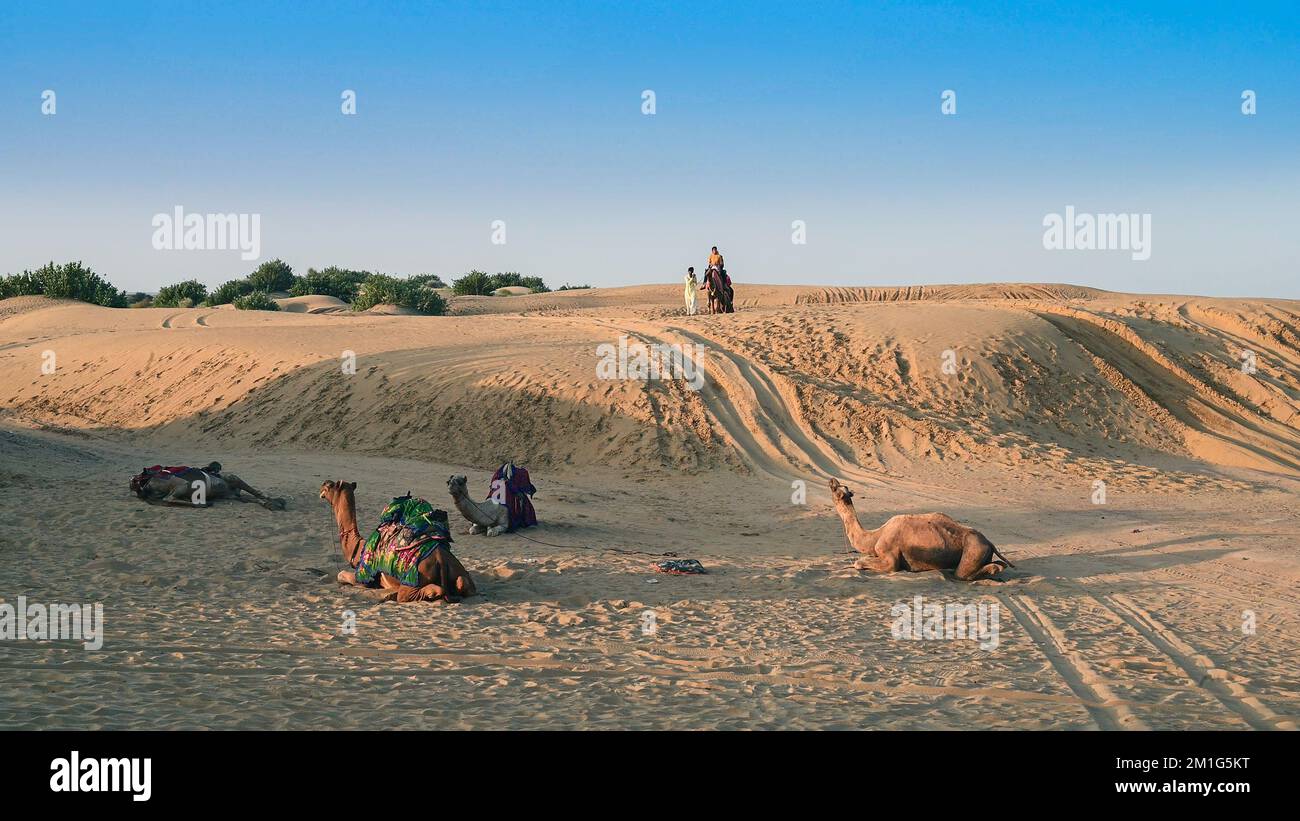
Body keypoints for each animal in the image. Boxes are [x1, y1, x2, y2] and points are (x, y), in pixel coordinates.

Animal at [131, 462, 285, 510]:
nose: (132, 481)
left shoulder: (233, 495)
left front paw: (273, 503)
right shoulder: (233, 479)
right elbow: (256, 493)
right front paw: (276, 502)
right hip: (182, 485)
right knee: (169, 499)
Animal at [320, 480, 476, 603]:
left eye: (329, 486)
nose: (323, 484)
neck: (358, 548)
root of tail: (441, 559)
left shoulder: (363, 577)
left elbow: (341, 574)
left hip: (413, 579)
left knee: (416, 593)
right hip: (461, 575)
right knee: (464, 584)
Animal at [829, 478, 1013, 581]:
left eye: (836, 488)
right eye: (840, 486)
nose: (832, 480)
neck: (876, 535)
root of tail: (989, 542)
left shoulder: (890, 558)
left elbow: (860, 562)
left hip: (974, 548)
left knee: (962, 574)